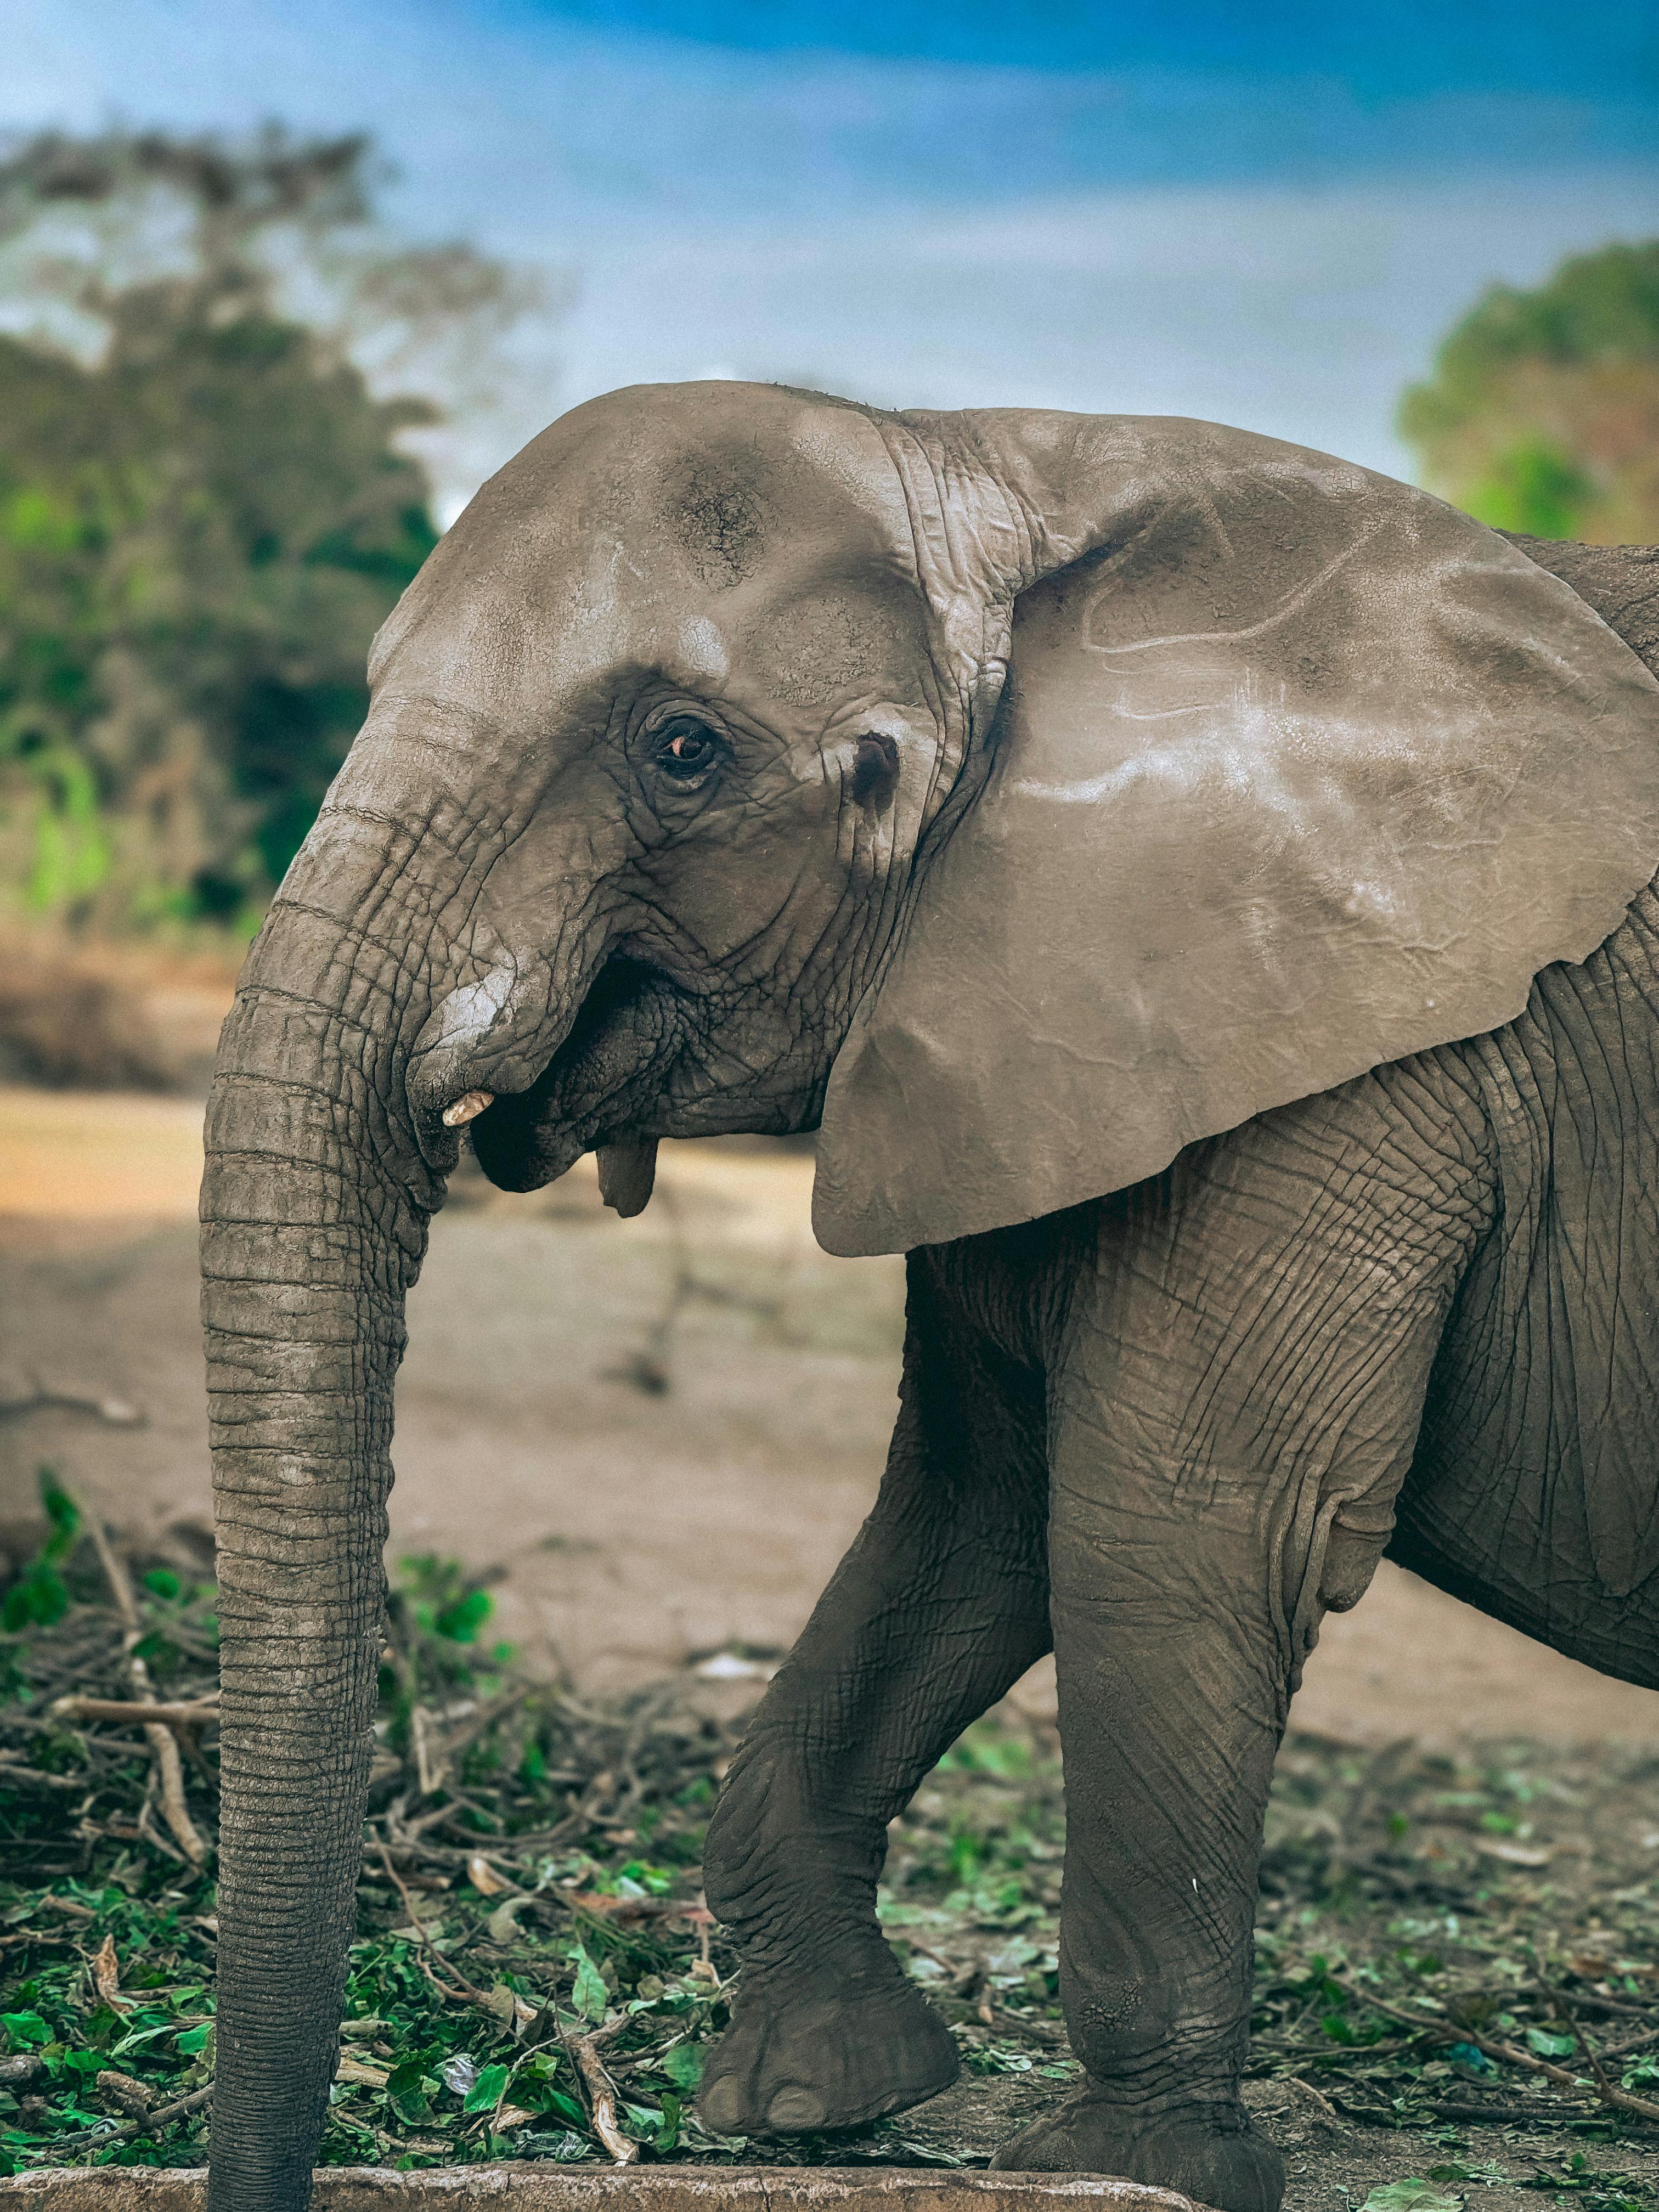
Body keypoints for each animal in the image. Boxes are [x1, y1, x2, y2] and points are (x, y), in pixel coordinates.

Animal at [198, 379, 1659, 2212]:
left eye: (684, 751)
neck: (990, 463)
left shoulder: (1361, 1051)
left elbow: (1161, 1532)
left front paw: (1134, 2172)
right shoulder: (1020, 1001)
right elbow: (974, 1508)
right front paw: (820, 2097)